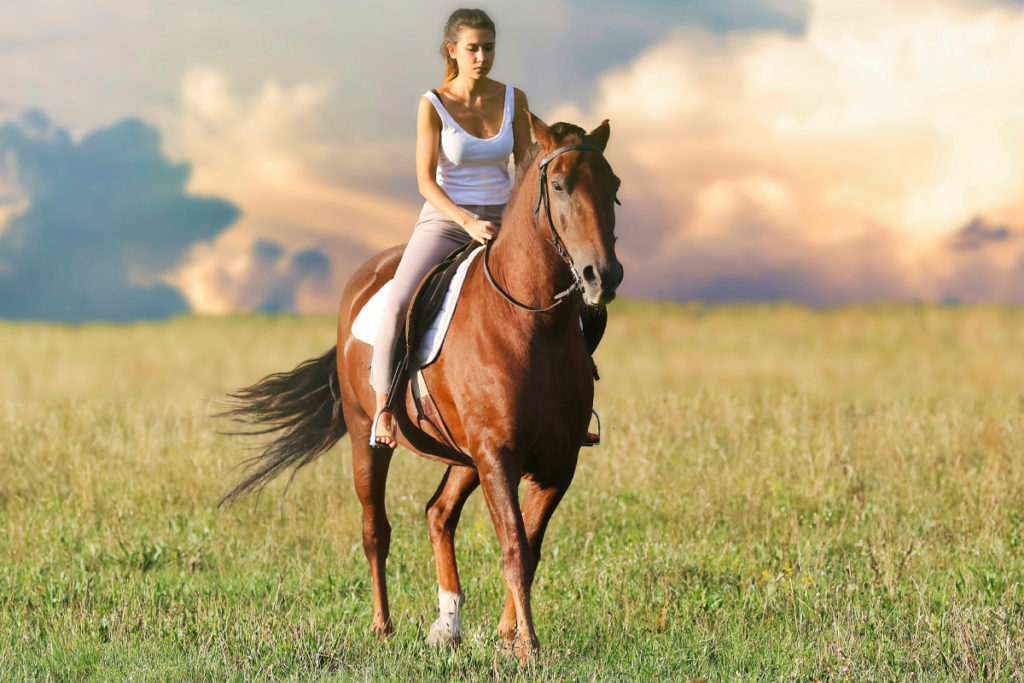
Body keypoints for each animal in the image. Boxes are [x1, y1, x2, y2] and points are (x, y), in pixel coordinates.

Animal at [219, 112, 622, 657]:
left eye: (613, 187)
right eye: (558, 186)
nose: (603, 276)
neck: (532, 324)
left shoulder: (556, 463)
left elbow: (530, 548)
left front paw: (508, 637)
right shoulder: (498, 455)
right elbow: (515, 547)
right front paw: (528, 648)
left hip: (463, 456)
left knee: (438, 514)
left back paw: (447, 626)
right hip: (370, 438)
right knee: (376, 530)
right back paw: (382, 626)